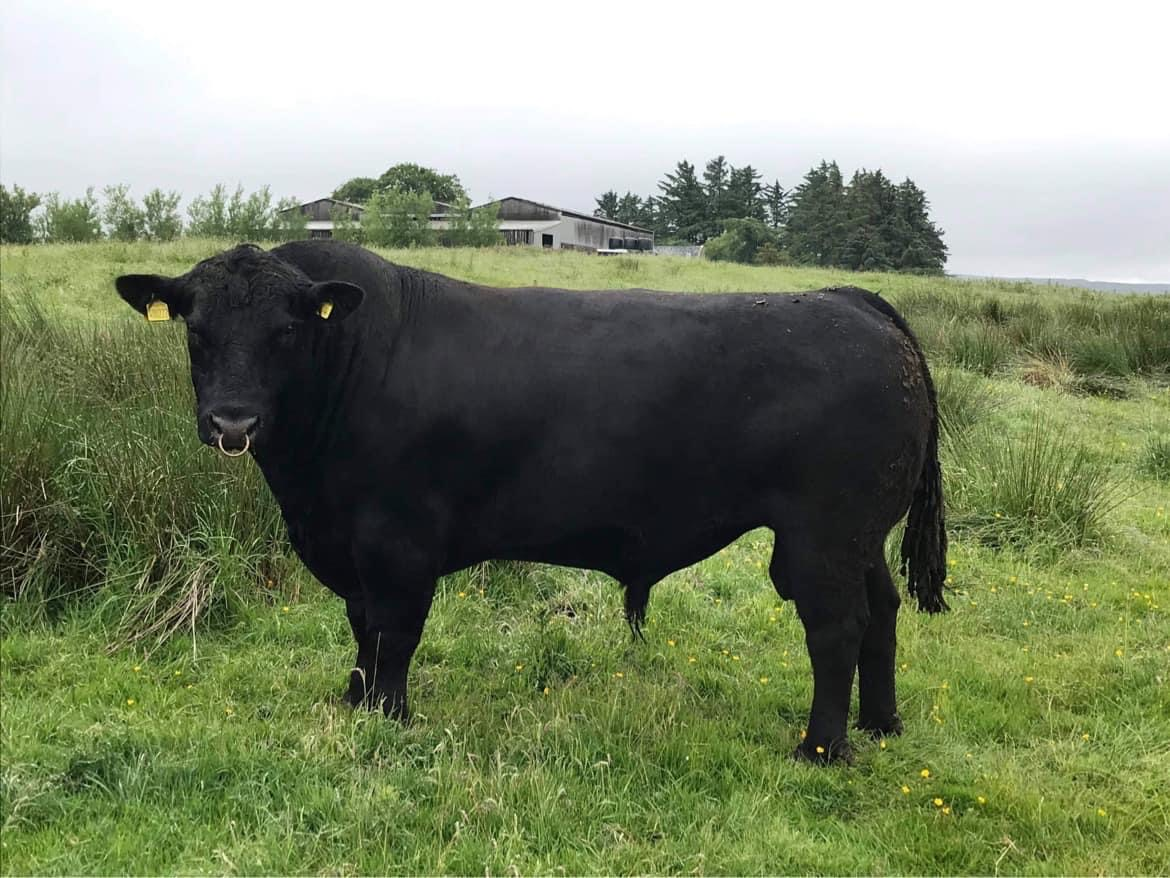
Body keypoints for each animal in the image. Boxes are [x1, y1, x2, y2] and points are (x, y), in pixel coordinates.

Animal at [114, 239, 947, 764]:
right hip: (859, 535)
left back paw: (821, 747)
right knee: (880, 613)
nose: (232, 422)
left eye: (287, 330)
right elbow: (360, 629)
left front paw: (389, 716)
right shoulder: (349, 543)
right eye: (195, 330)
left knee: (835, 626)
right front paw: (353, 700)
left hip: (822, 533)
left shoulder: (397, 541)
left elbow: (393, 633)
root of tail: (853, 301)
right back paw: (881, 724)